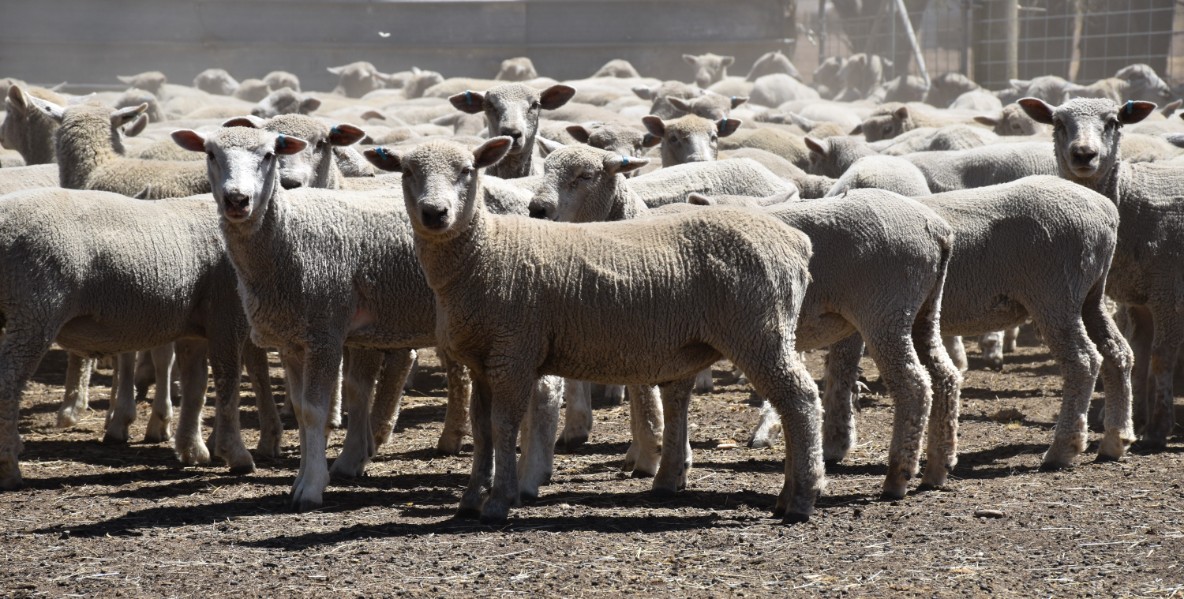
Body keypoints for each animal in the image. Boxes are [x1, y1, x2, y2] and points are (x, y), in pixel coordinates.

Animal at [0, 187, 285, 492]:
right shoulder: (226, 314)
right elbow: (227, 381)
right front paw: (235, 453)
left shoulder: (195, 326)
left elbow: (196, 386)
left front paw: (191, 449)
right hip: (34, 311)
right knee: (9, 382)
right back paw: (9, 467)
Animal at [375, 135, 823, 524]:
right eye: (407, 171)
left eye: (467, 170)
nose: (435, 213)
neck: (485, 252)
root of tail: (795, 241)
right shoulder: (481, 360)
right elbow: (483, 430)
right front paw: (470, 500)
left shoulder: (513, 352)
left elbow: (504, 425)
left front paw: (499, 500)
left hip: (760, 332)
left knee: (799, 399)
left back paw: (801, 498)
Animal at [535, 143, 959, 500]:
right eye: (545, 168)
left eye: (585, 175)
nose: (537, 209)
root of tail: (937, 229)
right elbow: (670, 393)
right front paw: (667, 463)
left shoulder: (651, 329)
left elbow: (648, 394)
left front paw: (649, 457)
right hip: (923, 312)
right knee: (946, 375)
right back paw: (937, 469)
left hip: (885, 314)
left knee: (913, 385)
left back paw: (897, 477)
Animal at [1019, 97, 1184, 449]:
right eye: (1059, 123)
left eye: (1114, 122)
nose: (1083, 154)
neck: (1131, 201)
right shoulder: (1137, 298)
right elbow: (1138, 354)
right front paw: (1134, 419)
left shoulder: (1169, 291)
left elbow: (1161, 356)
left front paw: (1158, 428)